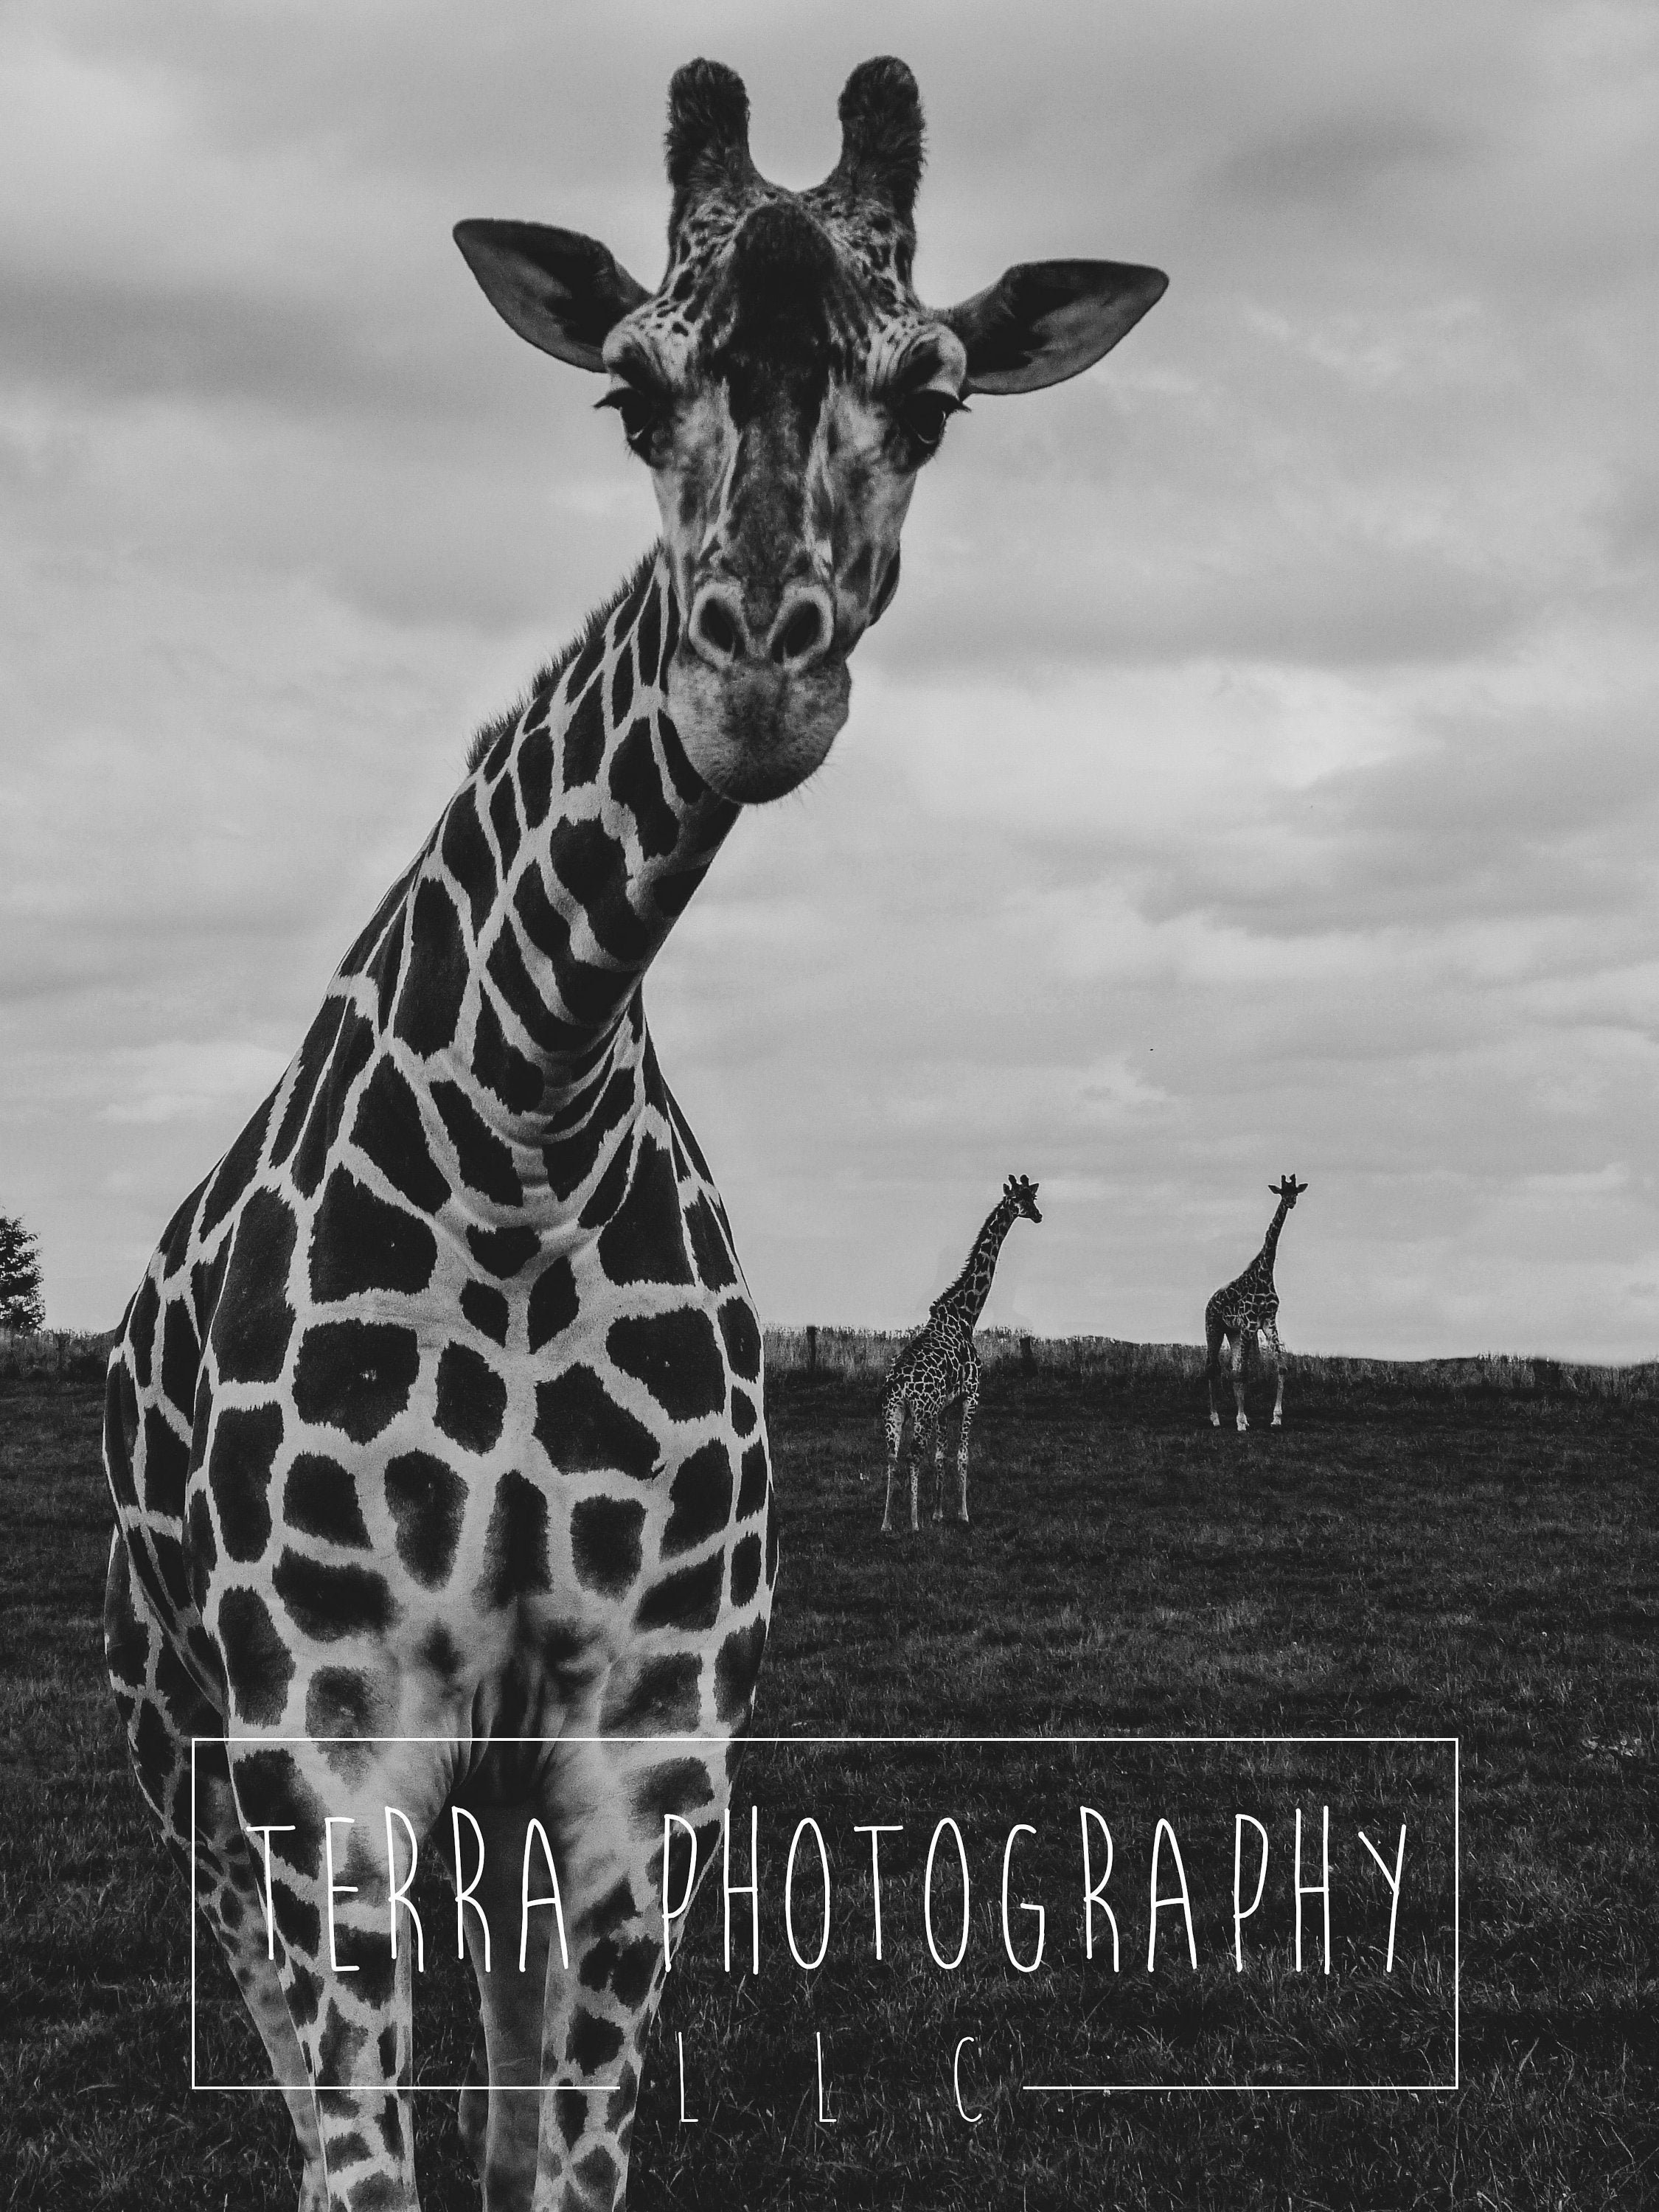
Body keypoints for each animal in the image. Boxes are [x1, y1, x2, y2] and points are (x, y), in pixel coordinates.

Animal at [877, 1175, 1042, 1533]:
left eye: (1033, 1196)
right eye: (1020, 1199)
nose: (1038, 1215)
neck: (965, 1316)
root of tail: (898, 1384)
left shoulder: (945, 1405)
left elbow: (941, 1456)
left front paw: (939, 1513)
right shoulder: (971, 1395)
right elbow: (963, 1456)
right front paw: (963, 1514)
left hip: (893, 1411)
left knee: (892, 1456)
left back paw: (887, 1523)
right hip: (920, 1411)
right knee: (912, 1455)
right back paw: (913, 1524)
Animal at [1204, 1174, 1308, 1432]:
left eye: (1296, 1191)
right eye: (1282, 1191)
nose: (1291, 1202)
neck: (1265, 1273)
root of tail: (1209, 1302)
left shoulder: (1268, 1322)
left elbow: (1280, 1367)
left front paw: (1276, 1418)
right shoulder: (1250, 1323)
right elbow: (1244, 1372)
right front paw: (1241, 1422)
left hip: (1232, 1332)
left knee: (1231, 1369)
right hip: (1214, 1327)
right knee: (1212, 1368)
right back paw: (1215, 1418)